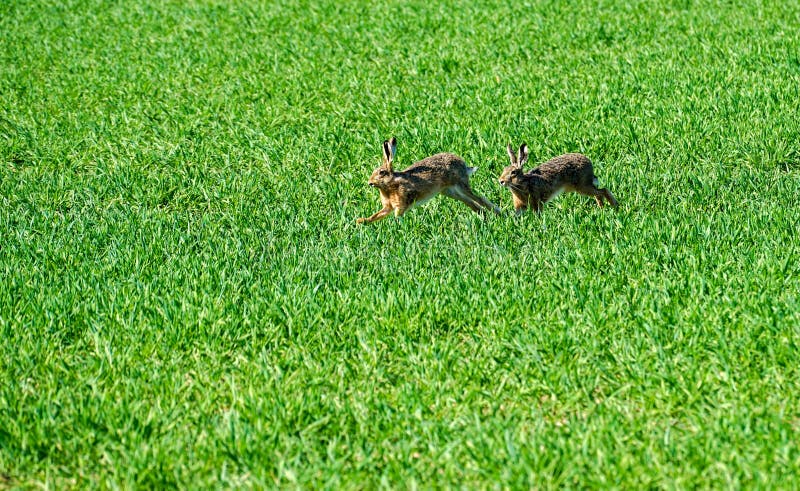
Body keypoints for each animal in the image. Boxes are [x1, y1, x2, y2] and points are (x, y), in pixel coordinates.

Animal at [357, 136, 500, 223]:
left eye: (382, 172)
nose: (370, 183)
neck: (390, 183)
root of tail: (463, 164)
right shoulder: (388, 207)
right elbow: (377, 215)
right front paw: (362, 221)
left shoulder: (401, 203)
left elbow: (398, 215)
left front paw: (396, 225)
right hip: (448, 191)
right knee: (470, 202)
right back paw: (484, 216)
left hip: (460, 184)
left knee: (479, 198)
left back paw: (499, 213)